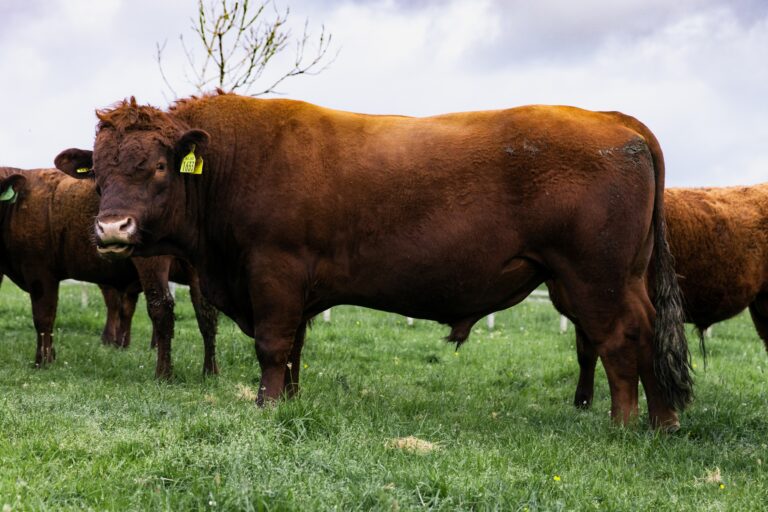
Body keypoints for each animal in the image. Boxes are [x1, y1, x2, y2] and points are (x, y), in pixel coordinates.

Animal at [0, 167, 219, 377]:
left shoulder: (39, 272)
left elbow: (43, 318)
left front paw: (42, 362)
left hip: (152, 263)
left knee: (162, 309)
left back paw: (163, 374)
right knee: (206, 312)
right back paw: (210, 372)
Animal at [54, 92, 692, 429]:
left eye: (161, 167)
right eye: (100, 171)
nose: (112, 228)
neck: (233, 166)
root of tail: (615, 121)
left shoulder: (274, 271)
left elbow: (273, 346)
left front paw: (265, 406)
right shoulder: (293, 288)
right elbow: (294, 351)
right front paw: (288, 400)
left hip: (594, 278)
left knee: (623, 338)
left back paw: (624, 423)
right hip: (612, 277)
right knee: (651, 335)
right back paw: (663, 421)